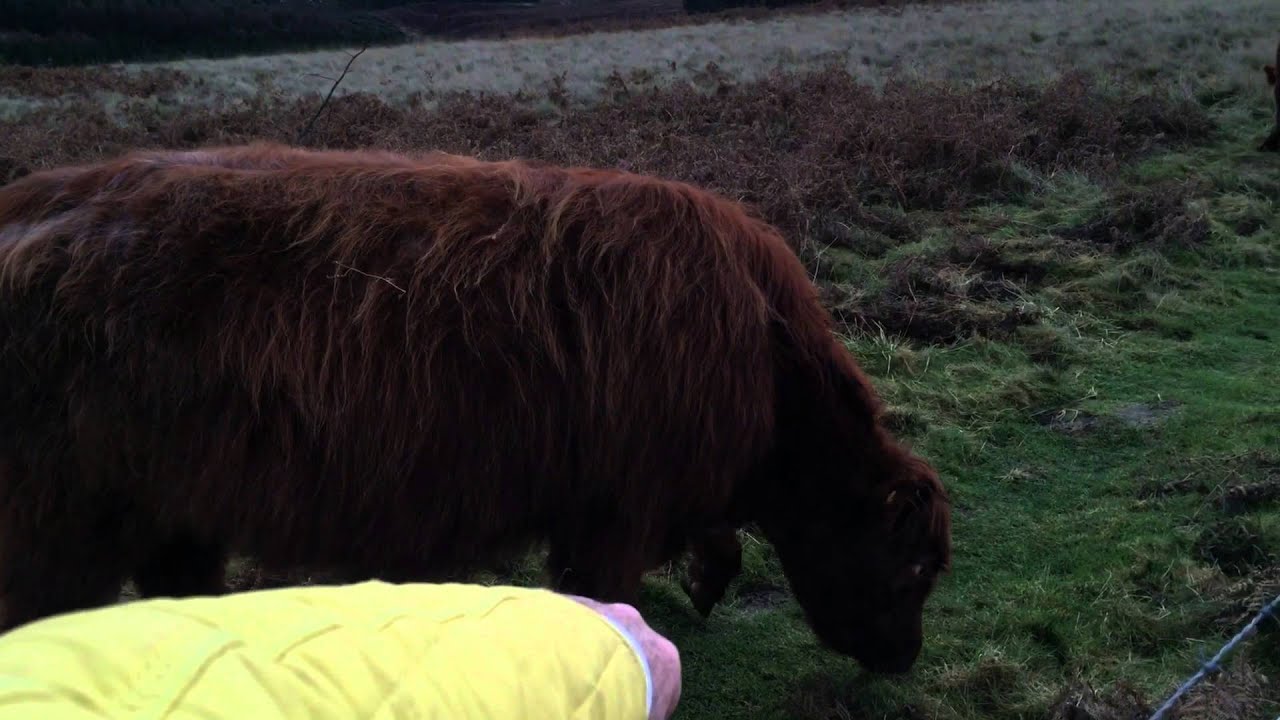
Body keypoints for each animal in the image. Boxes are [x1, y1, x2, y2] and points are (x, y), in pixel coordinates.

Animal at [0, 143, 951, 674]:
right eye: (911, 571)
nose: (904, 661)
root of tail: (33, 201)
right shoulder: (615, 512)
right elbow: (608, 595)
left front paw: (709, 581)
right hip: (60, 519)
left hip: (171, 504)